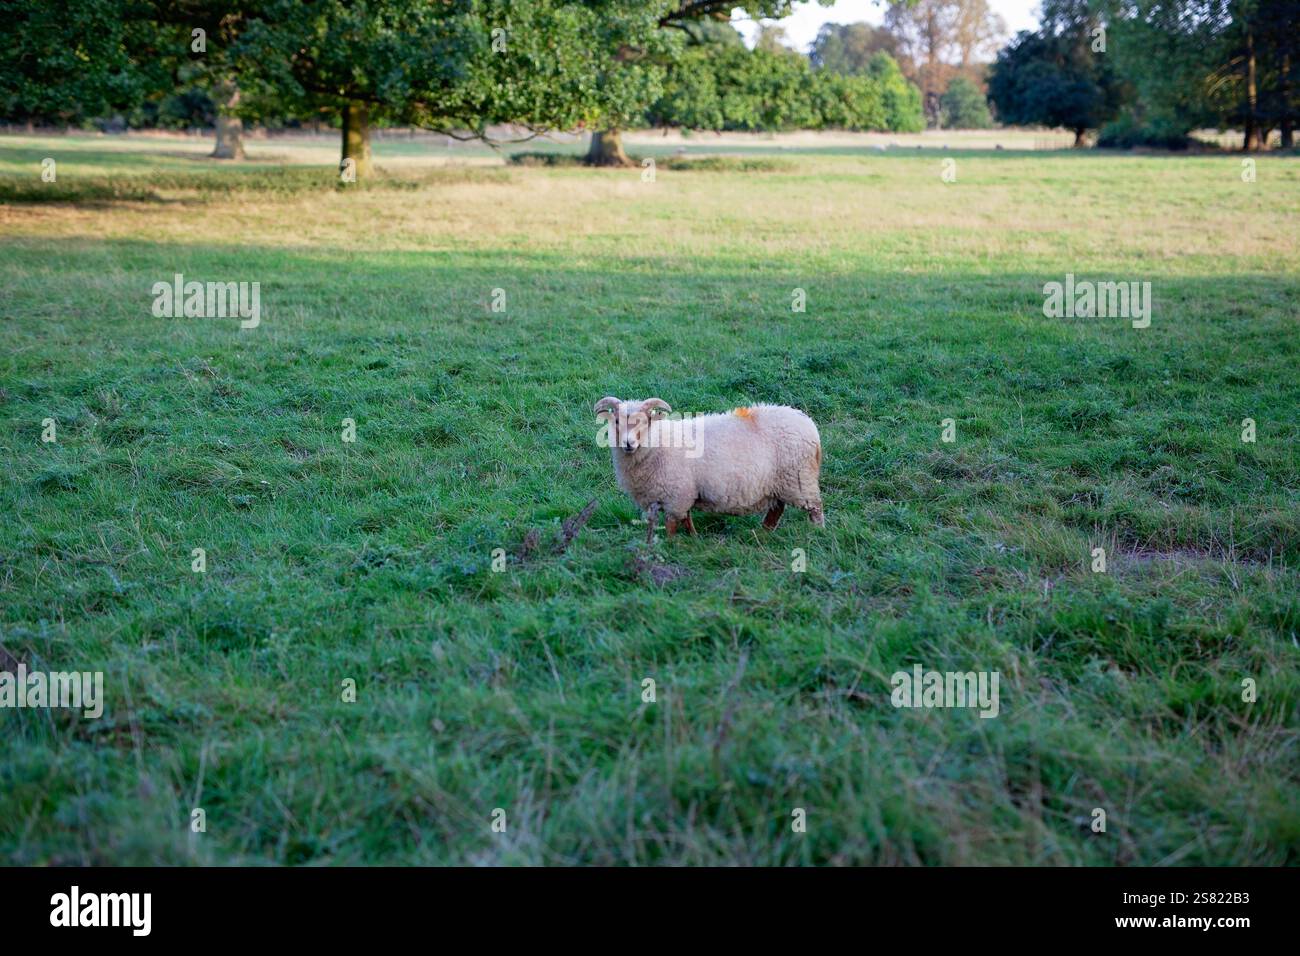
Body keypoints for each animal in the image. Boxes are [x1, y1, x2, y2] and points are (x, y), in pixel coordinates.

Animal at [594, 396, 825, 543]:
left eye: (645, 421)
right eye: (616, 421)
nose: (628, 444)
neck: (658, 443)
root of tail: (808, 424)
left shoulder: (676, 495)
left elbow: (672, 524)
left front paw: (671, 545)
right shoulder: (682, 493)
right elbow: (687, 519)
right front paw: (694, 539)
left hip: (799, 479)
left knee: (815, 508)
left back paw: (816, 532)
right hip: (778, 483)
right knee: (776, 510)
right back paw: (763, 533)